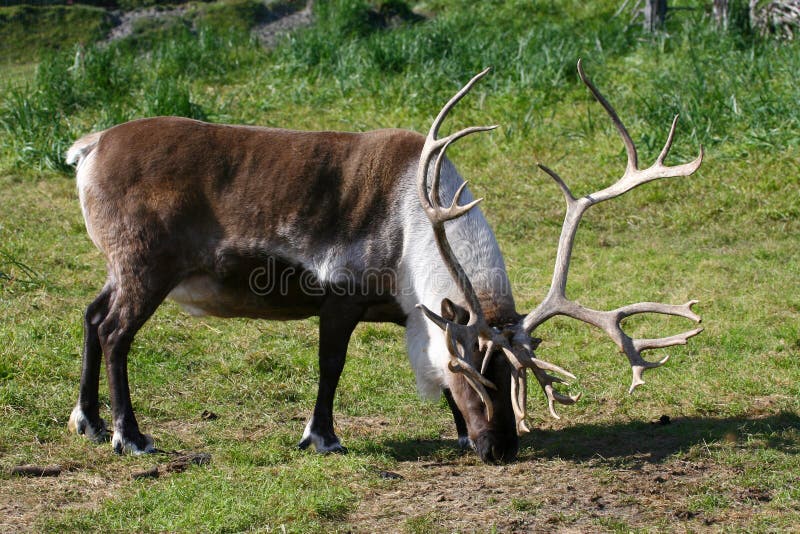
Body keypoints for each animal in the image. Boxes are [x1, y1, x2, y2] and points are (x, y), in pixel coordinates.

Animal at [65, 60, 703, 464]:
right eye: (472, 374)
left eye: (512, 374)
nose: (500, 450)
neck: (415, 225)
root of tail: (90, 146)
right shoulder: (340, 295)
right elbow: (332, 367)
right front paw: (322, 438)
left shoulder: (414, 312)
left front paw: (455, 432)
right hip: (146, 266)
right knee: (117, 331)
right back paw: (130, 436)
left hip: (121, 268)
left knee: (92, 315)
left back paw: (88, 422)